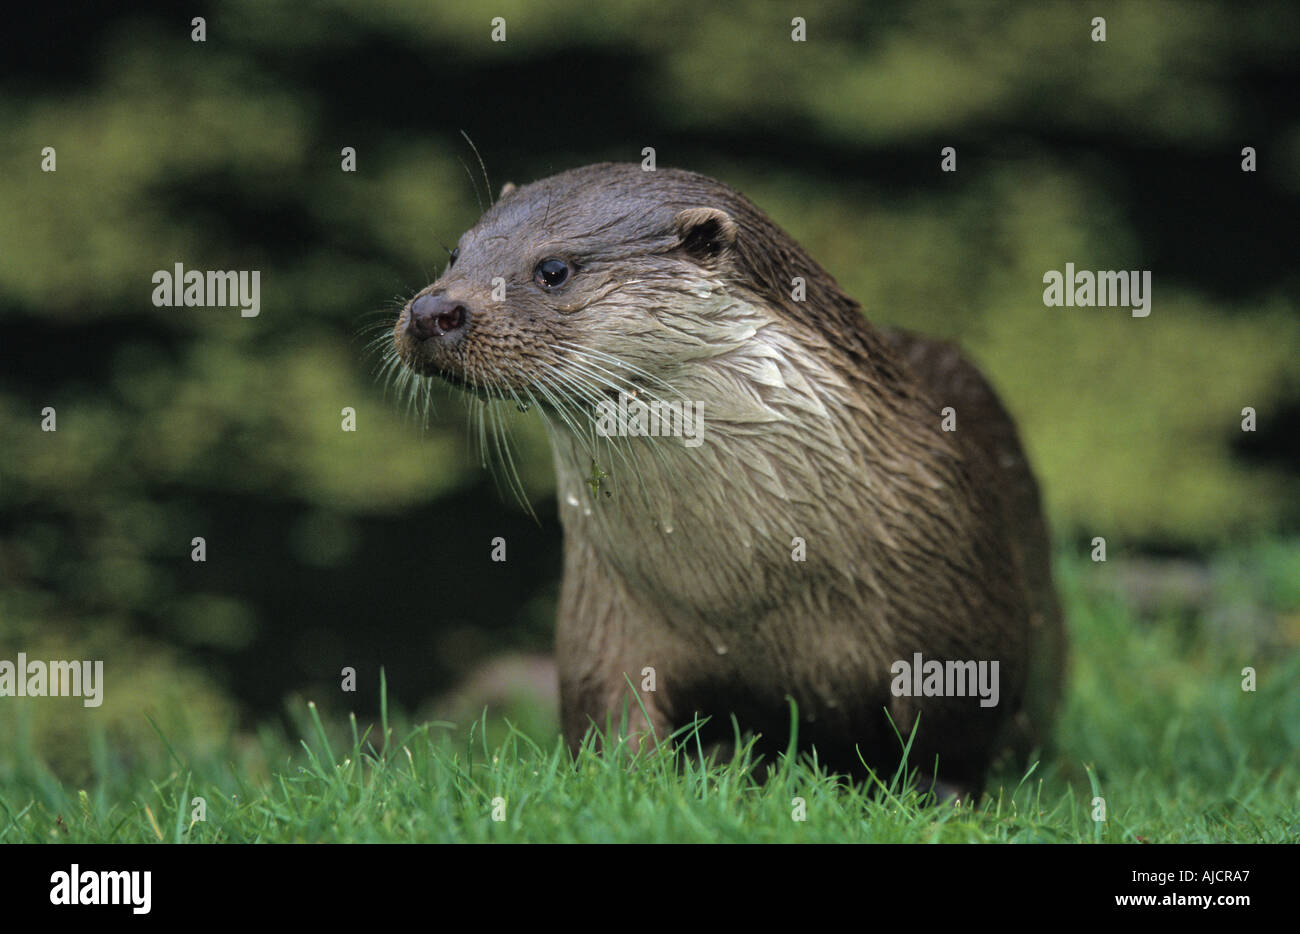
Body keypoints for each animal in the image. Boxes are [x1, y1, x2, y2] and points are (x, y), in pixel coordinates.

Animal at [390, 163, 1065, 796]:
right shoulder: (605, 616)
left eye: (553, 269)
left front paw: (935, 797)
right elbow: (609, 720)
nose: (432, 310)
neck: (744, 587)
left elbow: (951, 739)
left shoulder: (956, 614)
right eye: (456, 252)